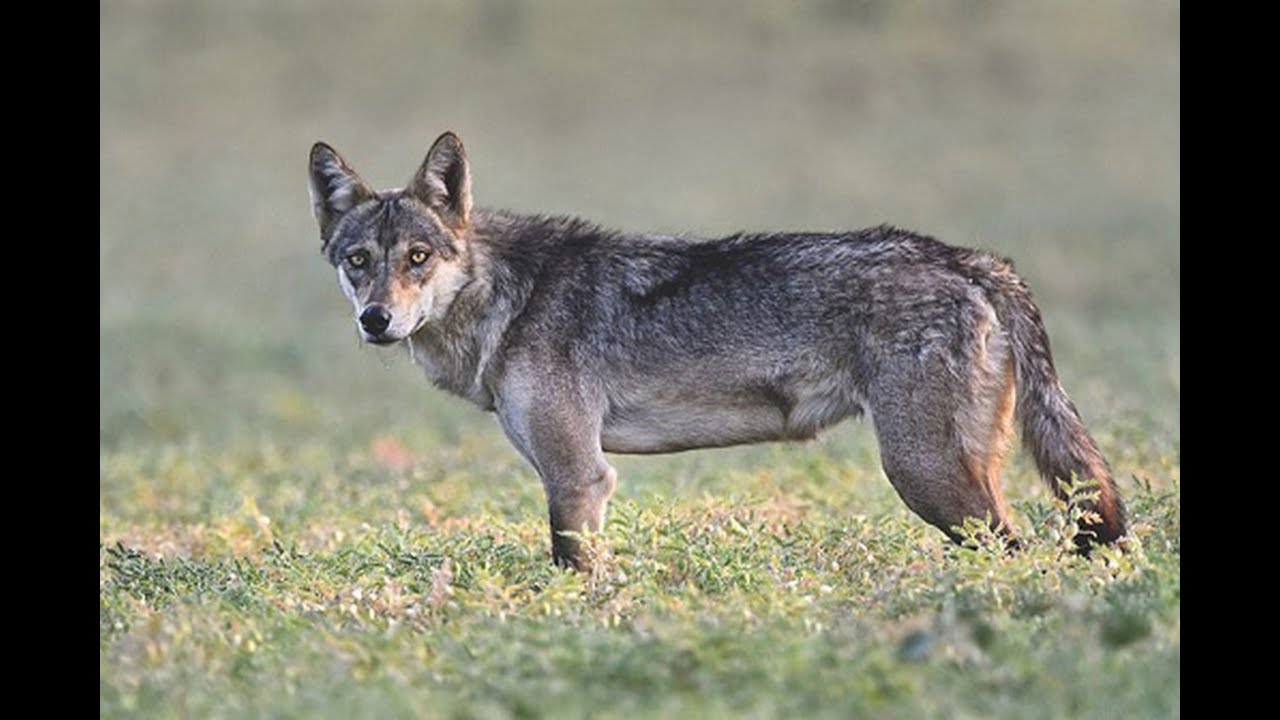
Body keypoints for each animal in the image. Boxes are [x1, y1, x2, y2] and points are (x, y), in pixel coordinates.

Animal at [308, 131, 1126, 569]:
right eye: (358, 261)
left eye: (418, 258)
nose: (377, 320)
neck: (513, 297)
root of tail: (969, 259)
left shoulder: (579, 478)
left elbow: (573, 578)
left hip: (926, 479)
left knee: (1019, 556)